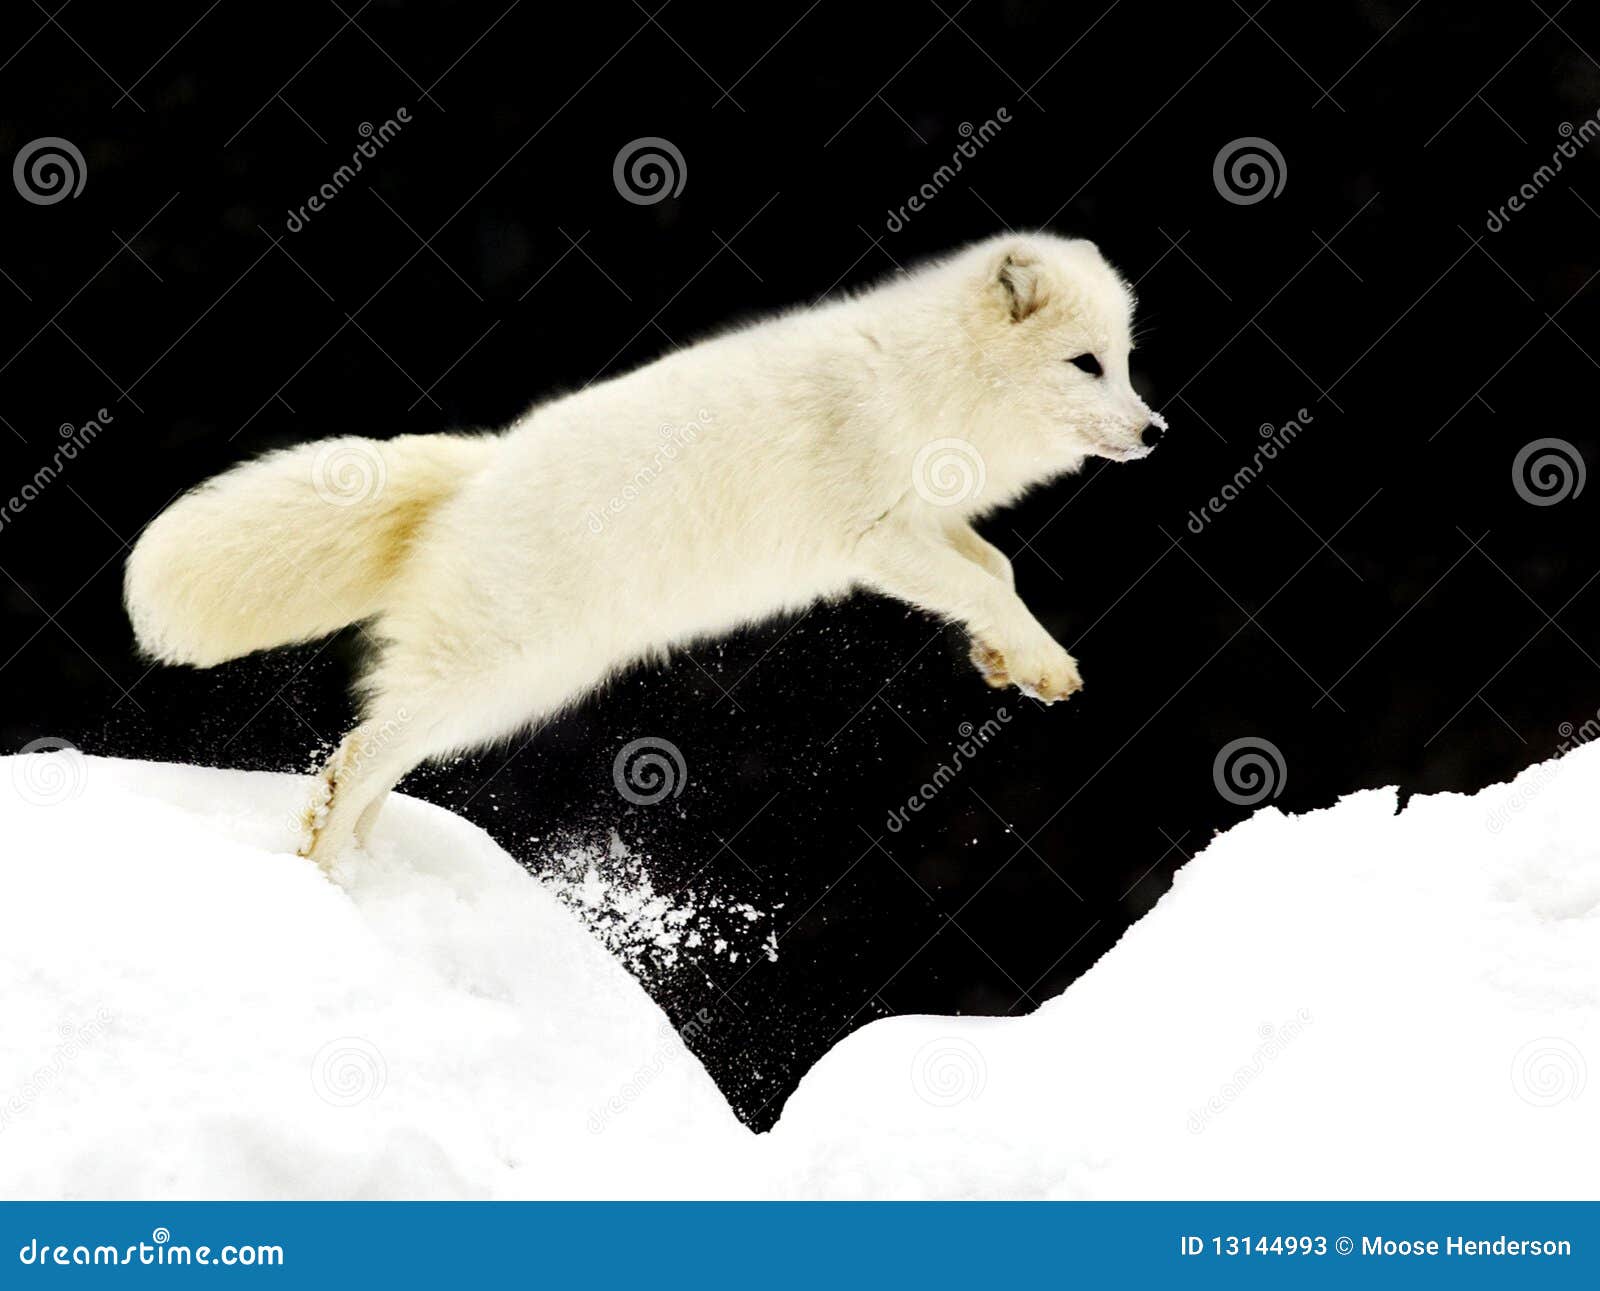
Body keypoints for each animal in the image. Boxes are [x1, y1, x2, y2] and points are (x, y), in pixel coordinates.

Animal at [124, 232, 1164, 868]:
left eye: (1124, 358)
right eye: (1085, 363)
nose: (1156, 431)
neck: (925, 382)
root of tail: (481, 467)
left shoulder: (926, 526)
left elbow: (998, 573)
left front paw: (1012, 661)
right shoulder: (875, 537)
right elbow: (985, 584)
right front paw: (1037, 659)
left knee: (377, 756)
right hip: (501, 678)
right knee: (360, 750)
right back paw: (325, 861)